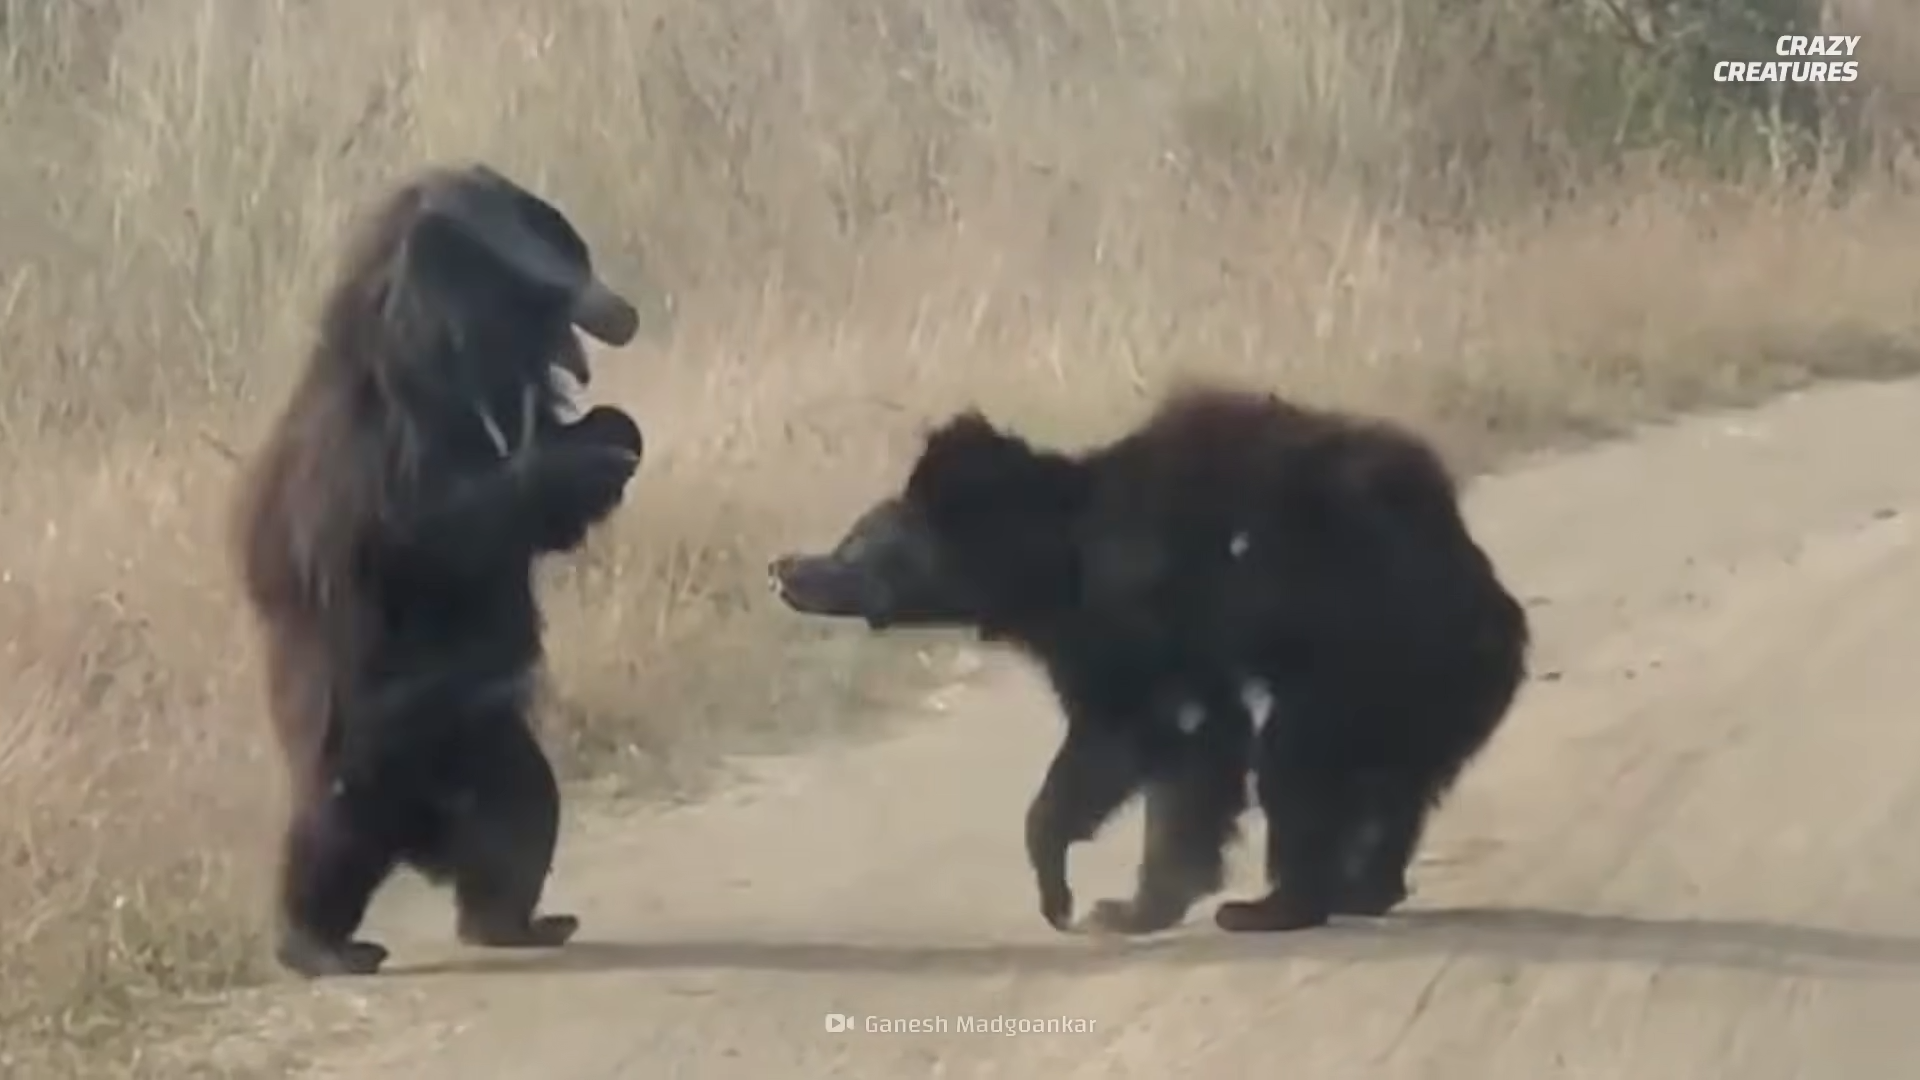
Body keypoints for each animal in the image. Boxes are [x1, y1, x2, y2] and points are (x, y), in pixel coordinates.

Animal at [229, 163, 649, 977]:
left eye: (578, 256)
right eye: (558, 274)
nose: (627, 313)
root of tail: (422, 834)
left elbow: (547, 521)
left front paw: (615, 432)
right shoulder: (369, 459)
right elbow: (434, 534)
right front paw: (589, 453)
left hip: (485, 746)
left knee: (524, 813)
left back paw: (515, 921)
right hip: (359, 743)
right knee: (329, 837)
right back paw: (319, 943)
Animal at [768, 383, 1530, 935]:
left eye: (852, 544)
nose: (782, 567)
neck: (1054, 566)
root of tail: (1494, 612)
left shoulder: (1134, 612)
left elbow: (1156, 737)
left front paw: (1085, 900)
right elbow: (1158, 749)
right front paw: (1119, 902)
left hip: (1366, 667)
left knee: (1299, 764)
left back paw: (1275, 906)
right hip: (1418, 695)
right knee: (1391, 786)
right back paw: (1367, 886)